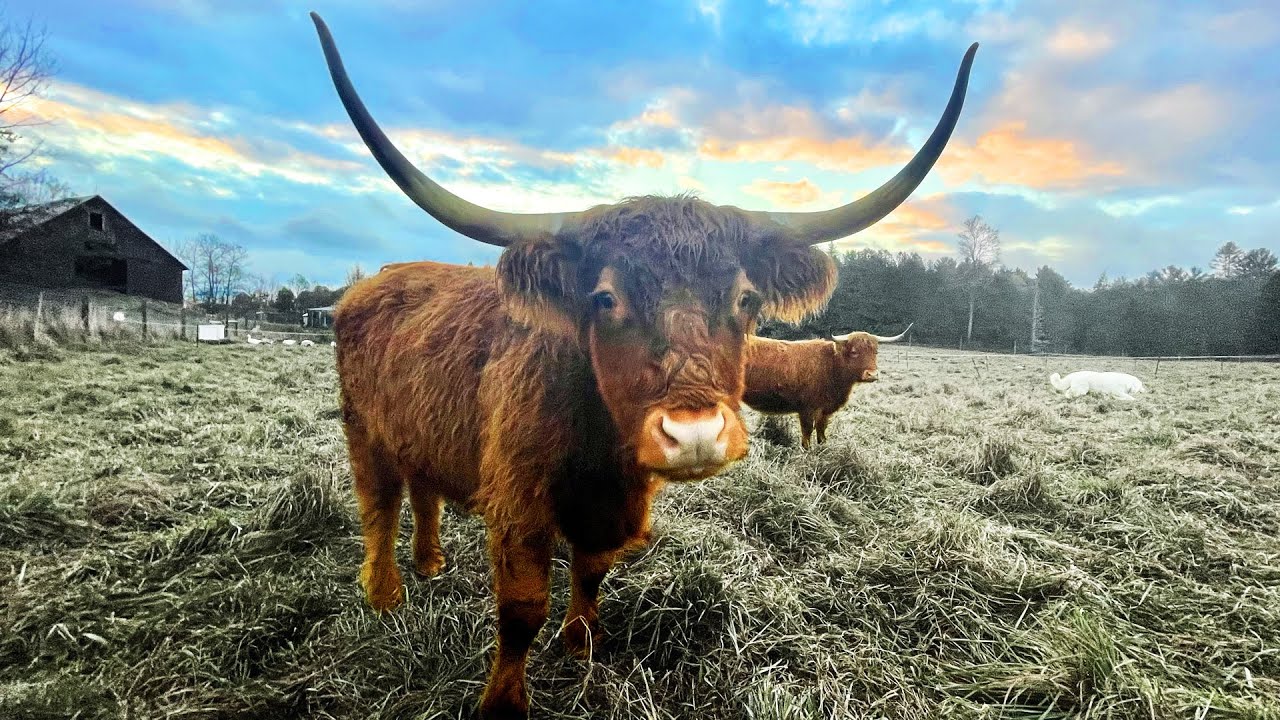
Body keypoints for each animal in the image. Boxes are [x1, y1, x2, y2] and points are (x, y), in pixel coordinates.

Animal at [744, 324, 912, 449]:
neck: (831, 366)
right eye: (854, 352)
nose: (872, 375)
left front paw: (823, 449)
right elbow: (807, 432)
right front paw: (807, 451)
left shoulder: (825, 410)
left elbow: (821, 430)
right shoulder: (807, 409)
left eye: (876, 351)